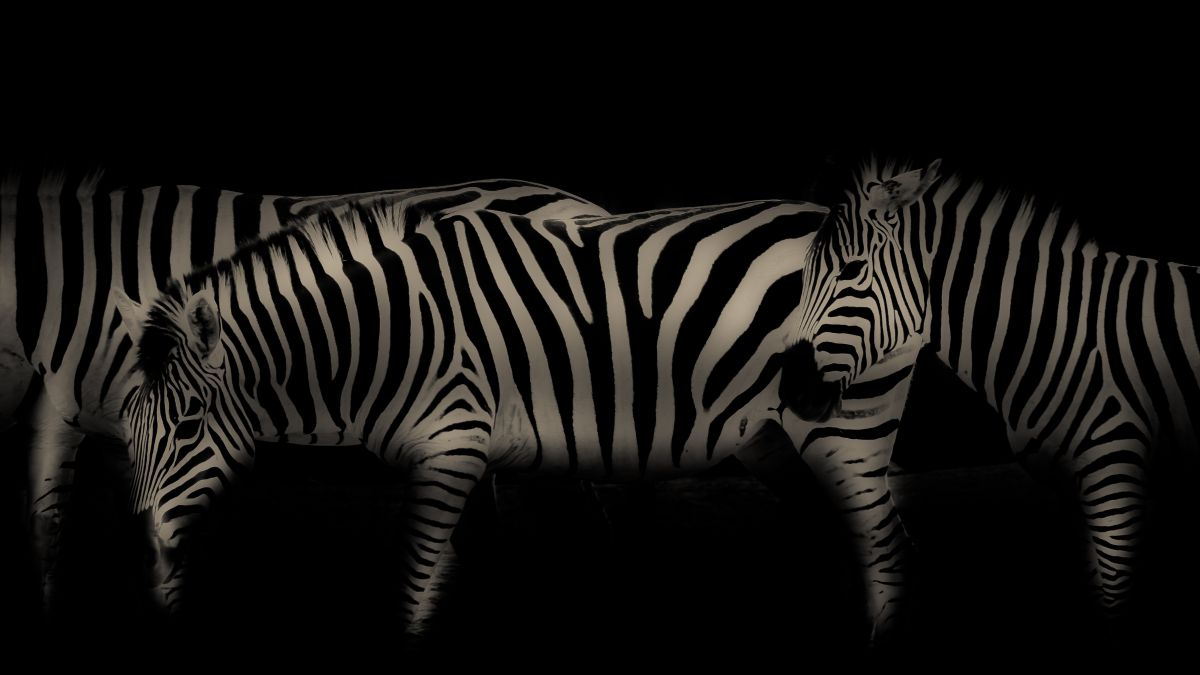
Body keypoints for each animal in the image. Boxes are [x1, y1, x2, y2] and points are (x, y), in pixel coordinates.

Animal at [112, 192, 928, 643]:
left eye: (187, 428)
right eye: (131, 433)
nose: (151, 558)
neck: (390, 331)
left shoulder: (452, 442)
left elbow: (415, 574)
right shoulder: (461, 456)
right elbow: (463, 559)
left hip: (846, 422)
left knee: (886, 536)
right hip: (775, 439)